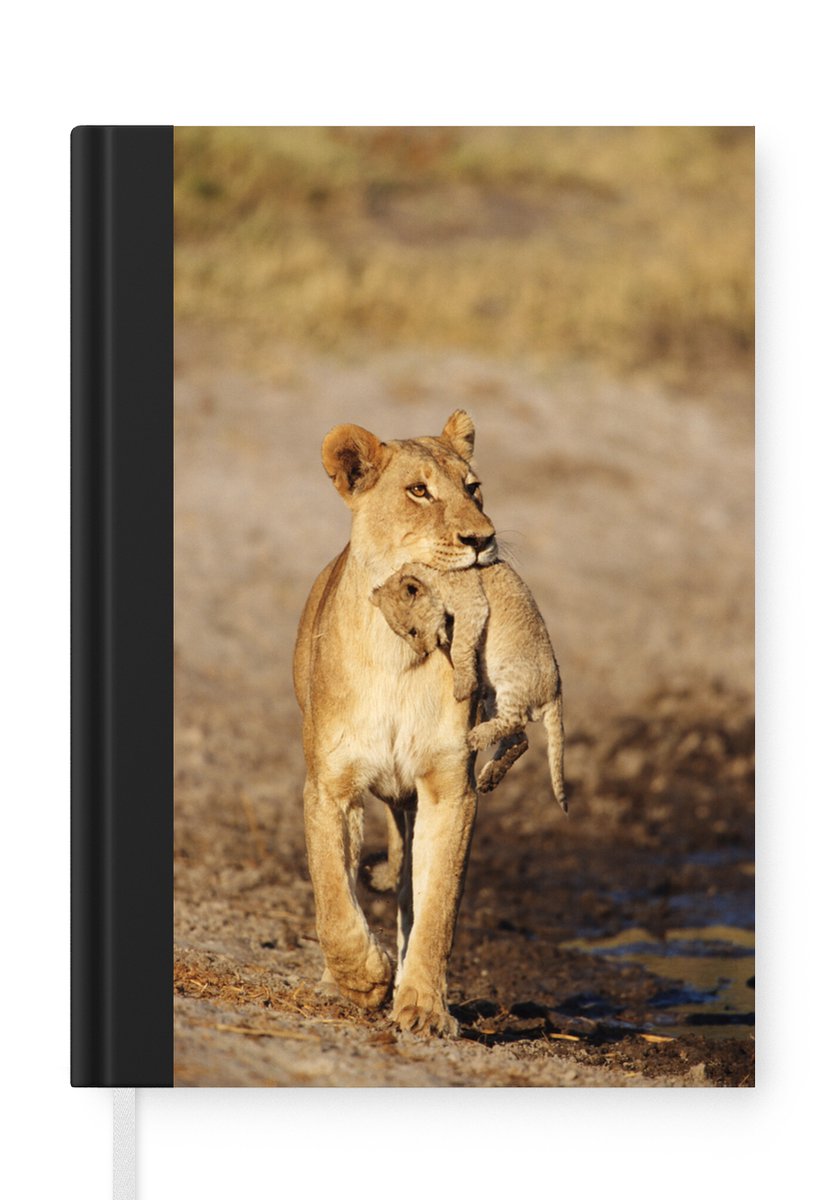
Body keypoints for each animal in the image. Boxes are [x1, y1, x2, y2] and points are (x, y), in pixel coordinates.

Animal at [293, 411, 497, 1035]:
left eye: (473, 488)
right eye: (419, 491)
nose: (483, 539)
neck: (399, 655)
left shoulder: (450, 787)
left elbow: (437, 909)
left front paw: (424, 1006)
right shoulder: (330, 786)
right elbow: (333, 897)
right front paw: (365, 977)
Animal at [370, 561, 566, 809]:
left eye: (412, 631)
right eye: (404, 635)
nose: (424, 653)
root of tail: (556, 689)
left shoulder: (473, 604)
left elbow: (461, 645)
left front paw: (463, 684)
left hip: (511, 680)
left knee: (516, 722)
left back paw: (475, 738)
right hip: (493, 697)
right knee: (521, 738)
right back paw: (490, 777)